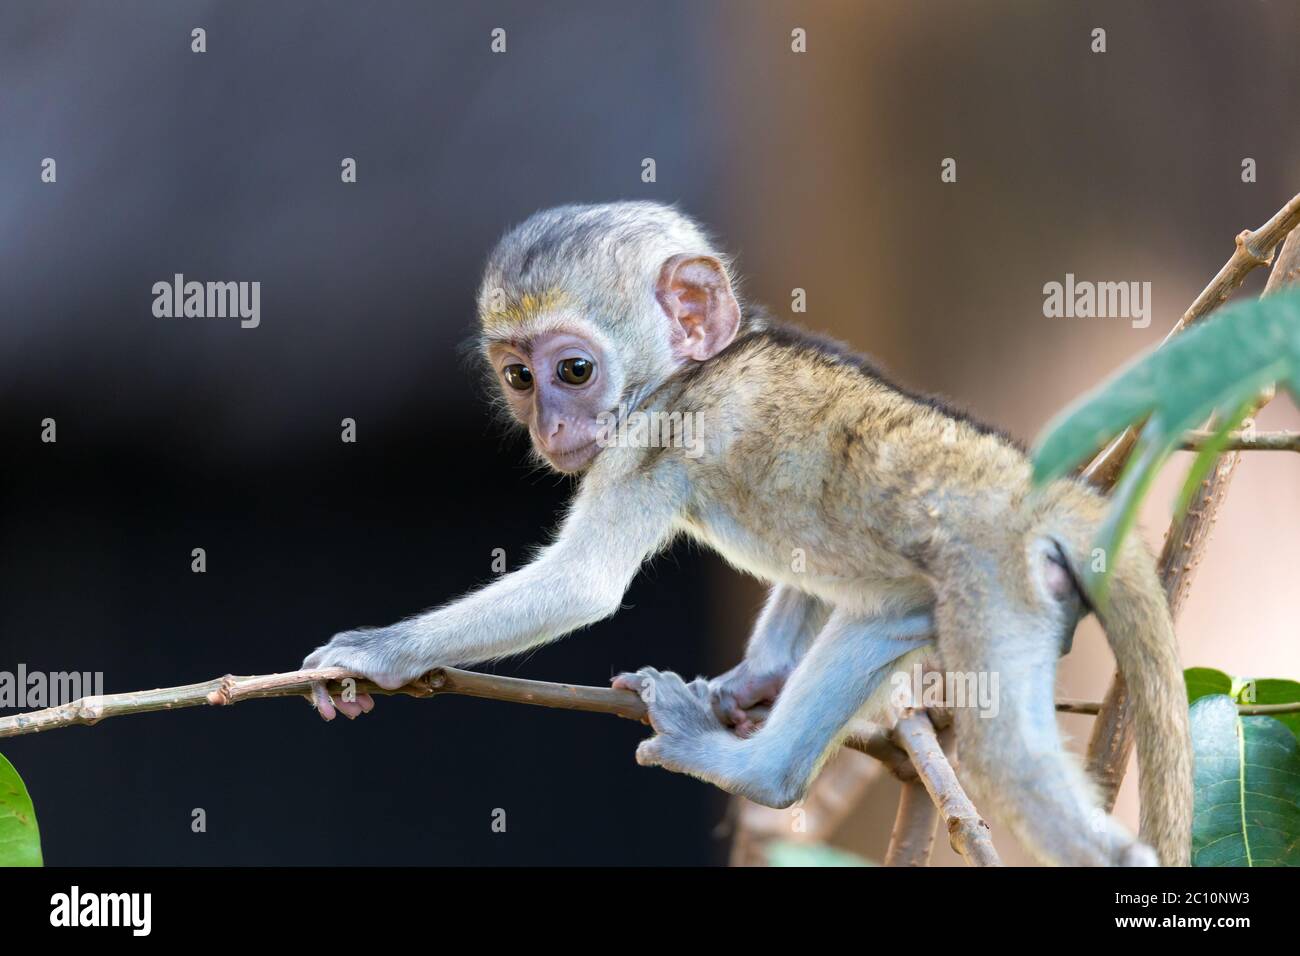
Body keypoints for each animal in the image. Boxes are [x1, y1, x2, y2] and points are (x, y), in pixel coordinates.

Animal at [301, 200, 1192, 867]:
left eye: (574, 371)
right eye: (519, 377)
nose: (551, 427)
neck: (687, 370)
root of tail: (1046, 495)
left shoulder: (647, 443)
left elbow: (582, 586)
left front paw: (376, 655)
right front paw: (753, 679)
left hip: (994, 572)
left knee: (1014, 761)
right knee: (885, 617)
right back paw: (769, 765)